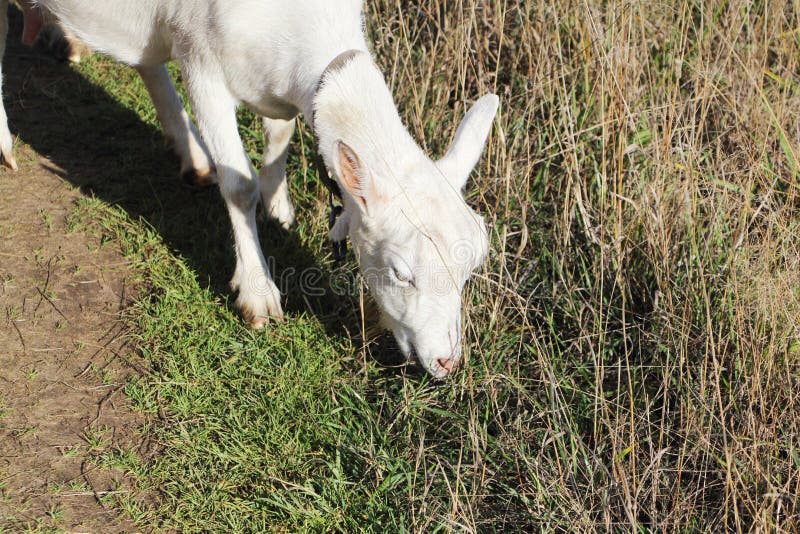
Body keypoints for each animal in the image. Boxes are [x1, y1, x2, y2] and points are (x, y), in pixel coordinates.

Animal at [0, 0, 498, 378]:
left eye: (469, 270)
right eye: (400, 273)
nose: (447, 361)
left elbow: (279, 137)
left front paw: (278, 209)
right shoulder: (201, 65)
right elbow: (239, 185)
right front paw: (258, 292)